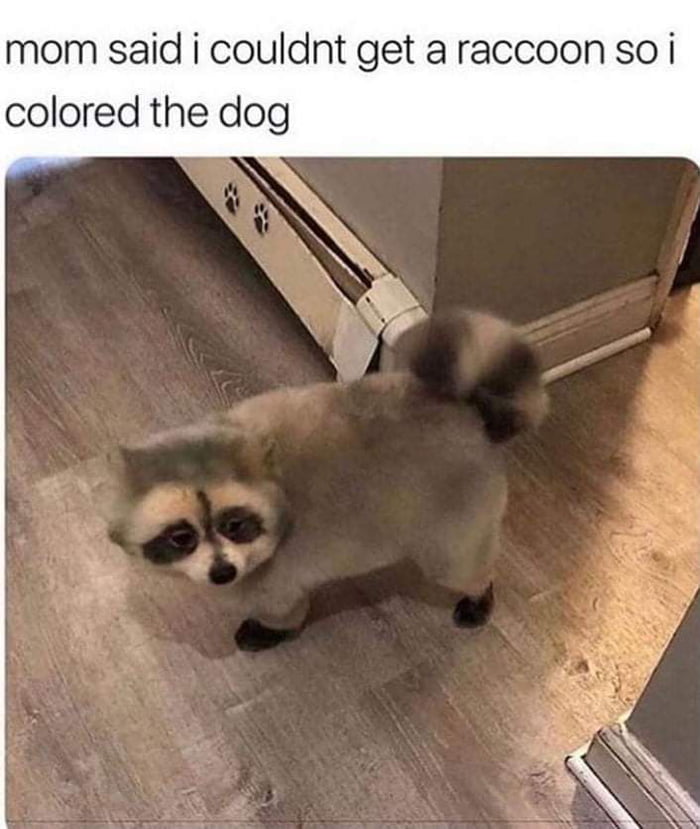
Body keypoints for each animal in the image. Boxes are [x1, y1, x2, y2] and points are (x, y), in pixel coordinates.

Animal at [105, 310, 547, 651]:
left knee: (468, 569)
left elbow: (284, 612)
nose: (222, 573)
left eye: (235, 525)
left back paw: (479, 596)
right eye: (181, 538)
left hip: (451, 539)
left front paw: (268, 631)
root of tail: (471, 415)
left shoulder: (277, 583)